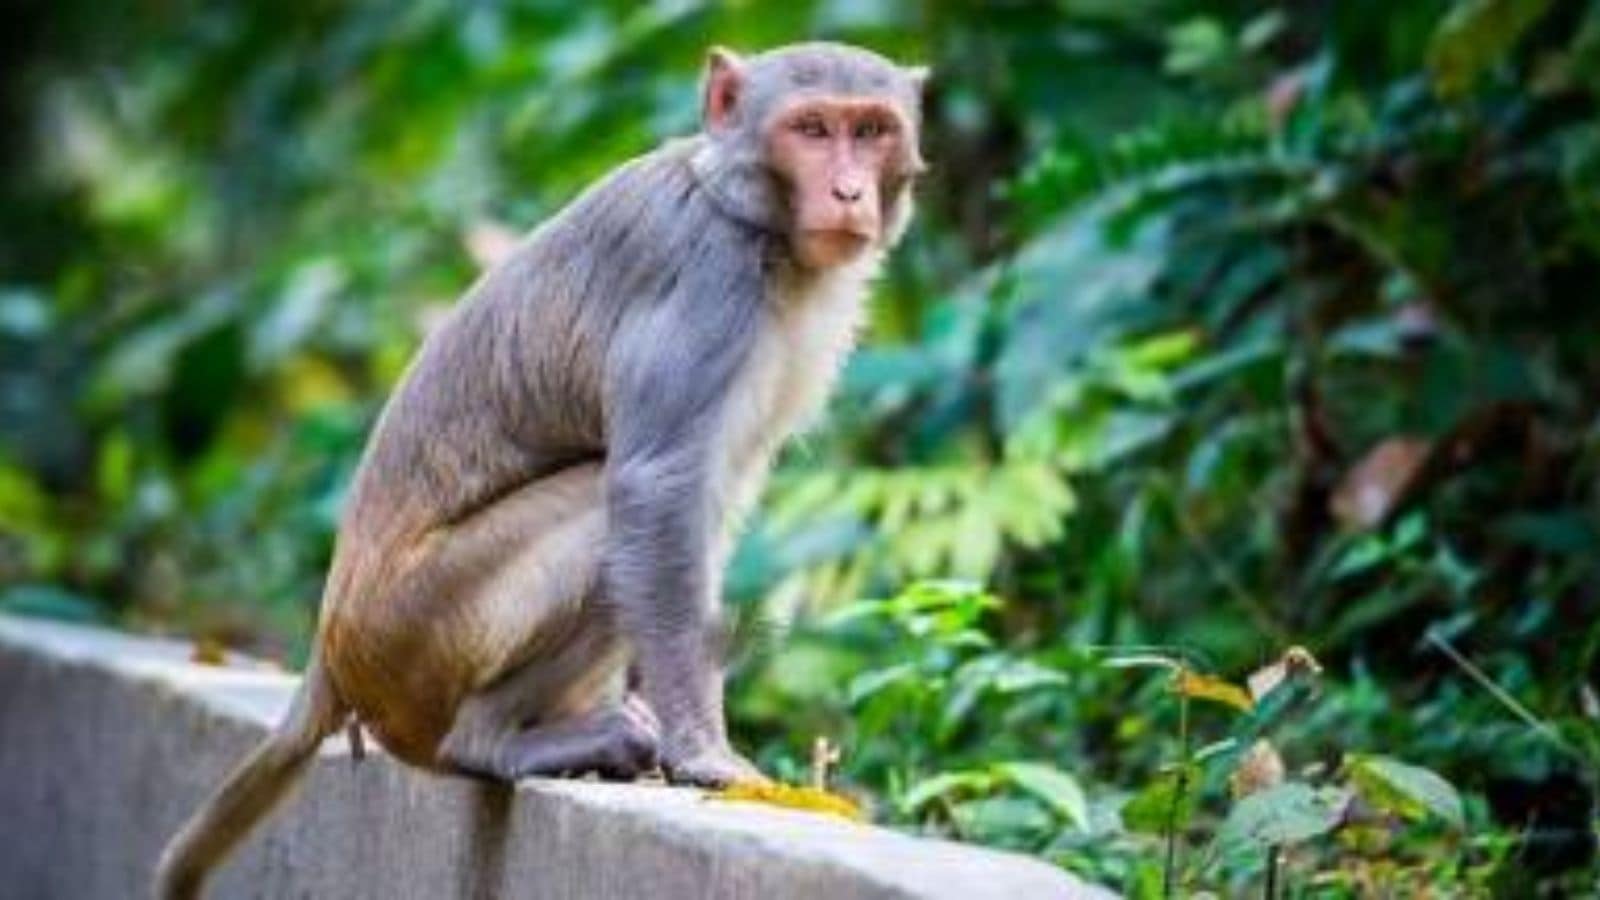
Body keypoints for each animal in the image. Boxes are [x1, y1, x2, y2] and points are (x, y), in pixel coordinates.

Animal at [154, 42, 926, 899]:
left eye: (871, 131)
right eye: (812, 129)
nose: (850, 191)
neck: (750, 219)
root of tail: (332, 651)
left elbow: (713, 500)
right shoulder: (708, 282)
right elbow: (657, 489)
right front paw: (704, 751)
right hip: (421, 630)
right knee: (599, 508)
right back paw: (490, 741)